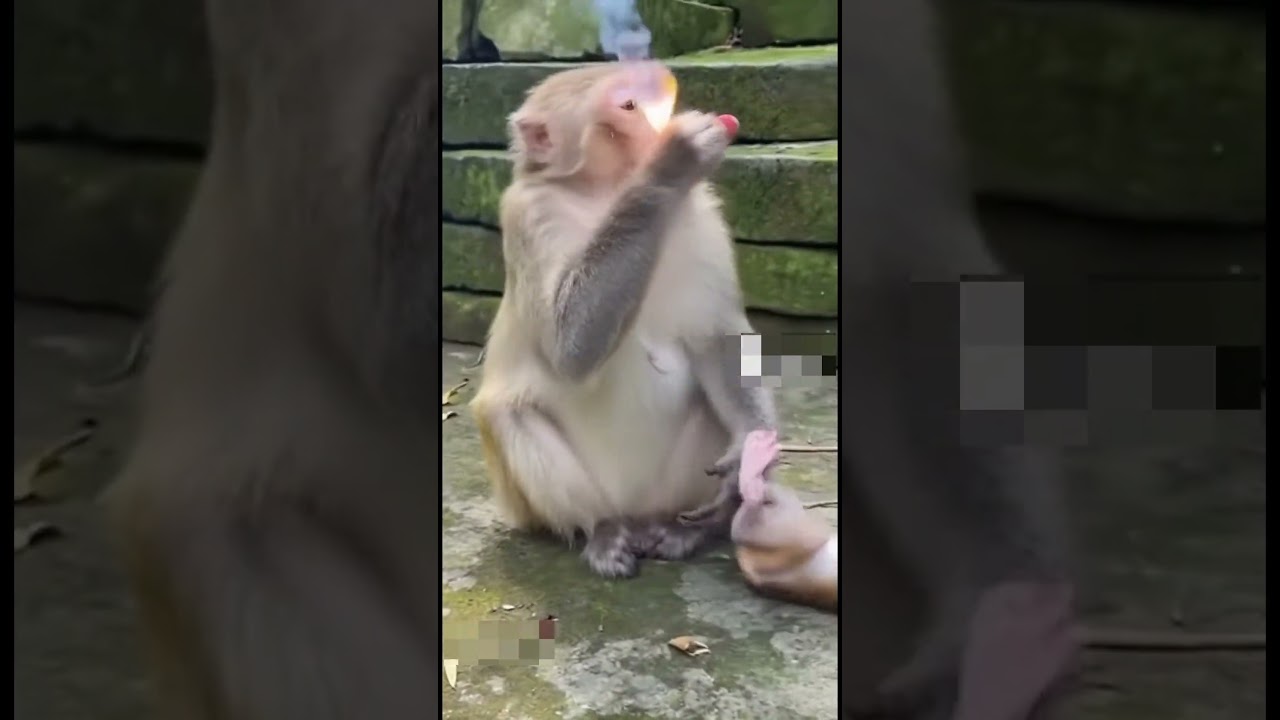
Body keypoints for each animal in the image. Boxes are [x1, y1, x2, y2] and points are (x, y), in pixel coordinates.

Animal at [469, 62, 778, 580]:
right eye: (629, 105)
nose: (660, 122)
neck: (605, 191)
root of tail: (637, 511)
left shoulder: (702, 211)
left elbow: (717, 337)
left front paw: (750, 452)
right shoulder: (528, 216)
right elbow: (569, 348)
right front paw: (671, 164)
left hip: (667, 491)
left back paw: (683, 530)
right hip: (543, 503)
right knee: (505, 412)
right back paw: (604, 531)